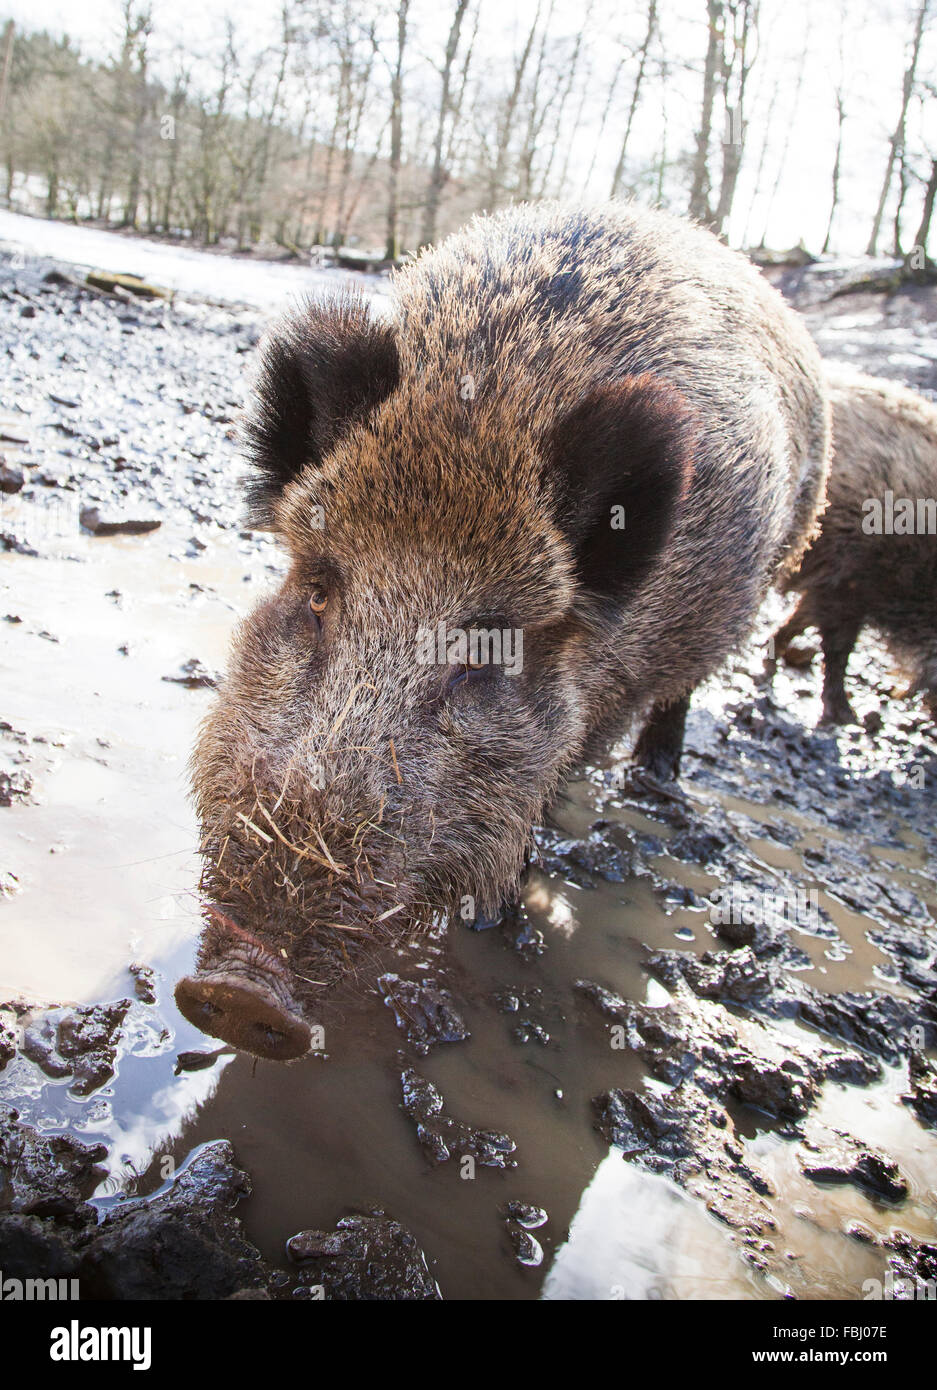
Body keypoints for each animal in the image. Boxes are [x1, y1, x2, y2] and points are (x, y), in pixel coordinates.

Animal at [177, 201, 830, 1058]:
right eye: (317, 592)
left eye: (488, 645)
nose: (238, 992)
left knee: (679, 697)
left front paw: (493, 915)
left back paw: (655, 779)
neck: (485, 403)